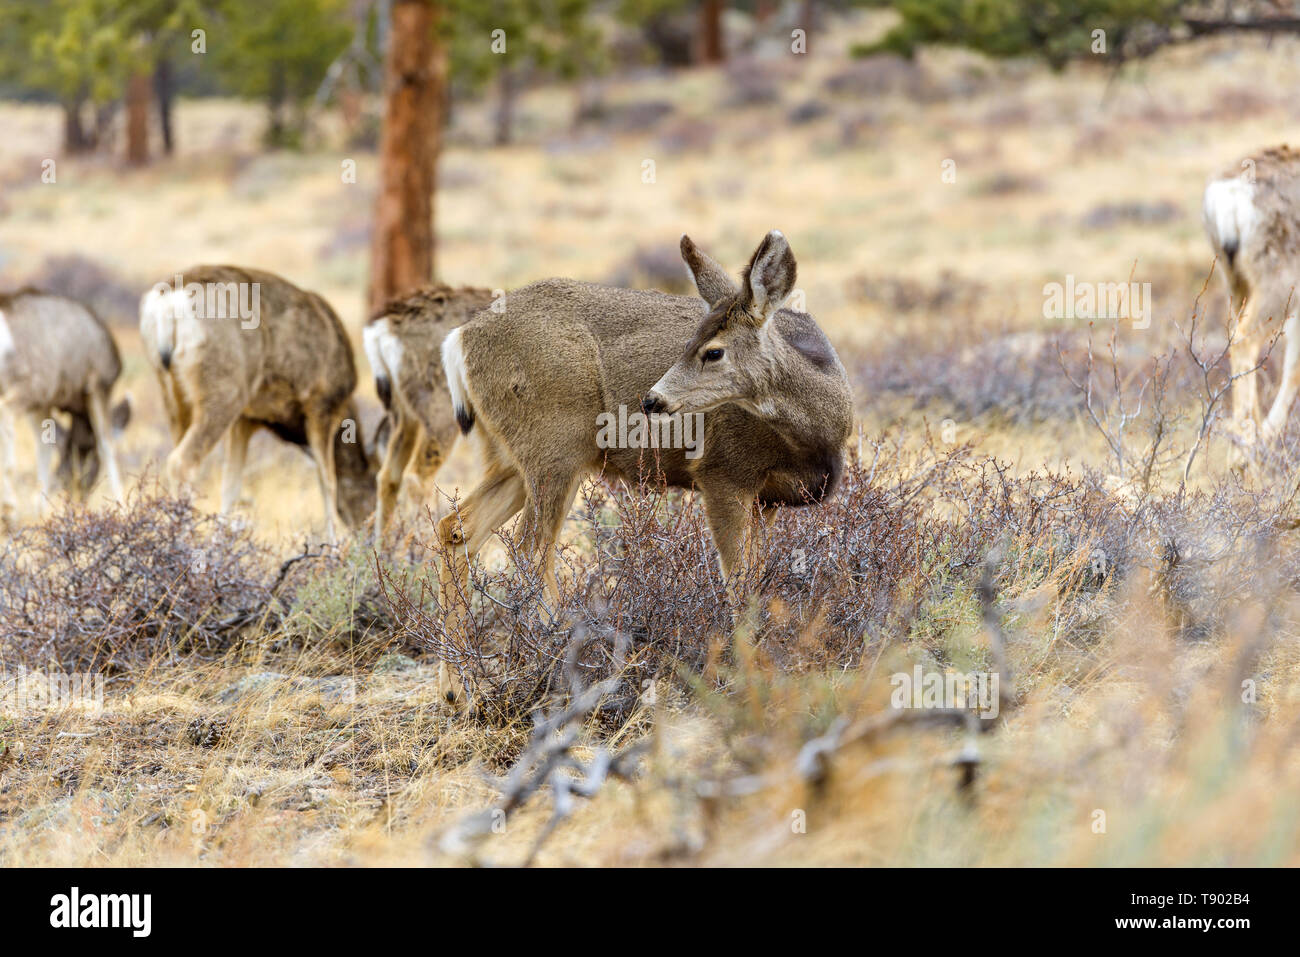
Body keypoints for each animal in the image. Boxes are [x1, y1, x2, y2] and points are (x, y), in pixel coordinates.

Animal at [0, 289, 129, 515]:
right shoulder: (98, 385)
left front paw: (41, 512)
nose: (76, 491)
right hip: (32, 382)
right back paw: (9, 509)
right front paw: (122, 508)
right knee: (6, 412)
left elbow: (43, 448)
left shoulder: (43, 404)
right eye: (87, 453)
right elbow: (107, 445)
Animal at [139, 266, 379, 539]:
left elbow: (231, 485)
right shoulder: (322, 405)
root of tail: (167, 305)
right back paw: (183, 535)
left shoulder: (246, 419)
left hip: (174, 397)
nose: (369, 529)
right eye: (374, 485)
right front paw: (333, 542)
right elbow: (327, 481)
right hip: (224, 390)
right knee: (182, 463)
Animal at [435, 230, 854, 704]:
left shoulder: (768, 501)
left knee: (457, 528)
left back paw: (458, 690)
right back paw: (561, 663)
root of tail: (459, 340)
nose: (652, 400)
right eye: (689, 342)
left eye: (712, 351)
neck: (817, 438)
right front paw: (747, 675)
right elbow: (737, 583)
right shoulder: (723, 472)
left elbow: (757, 580)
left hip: (510, 456)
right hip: (555, 443)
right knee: (529, 551)